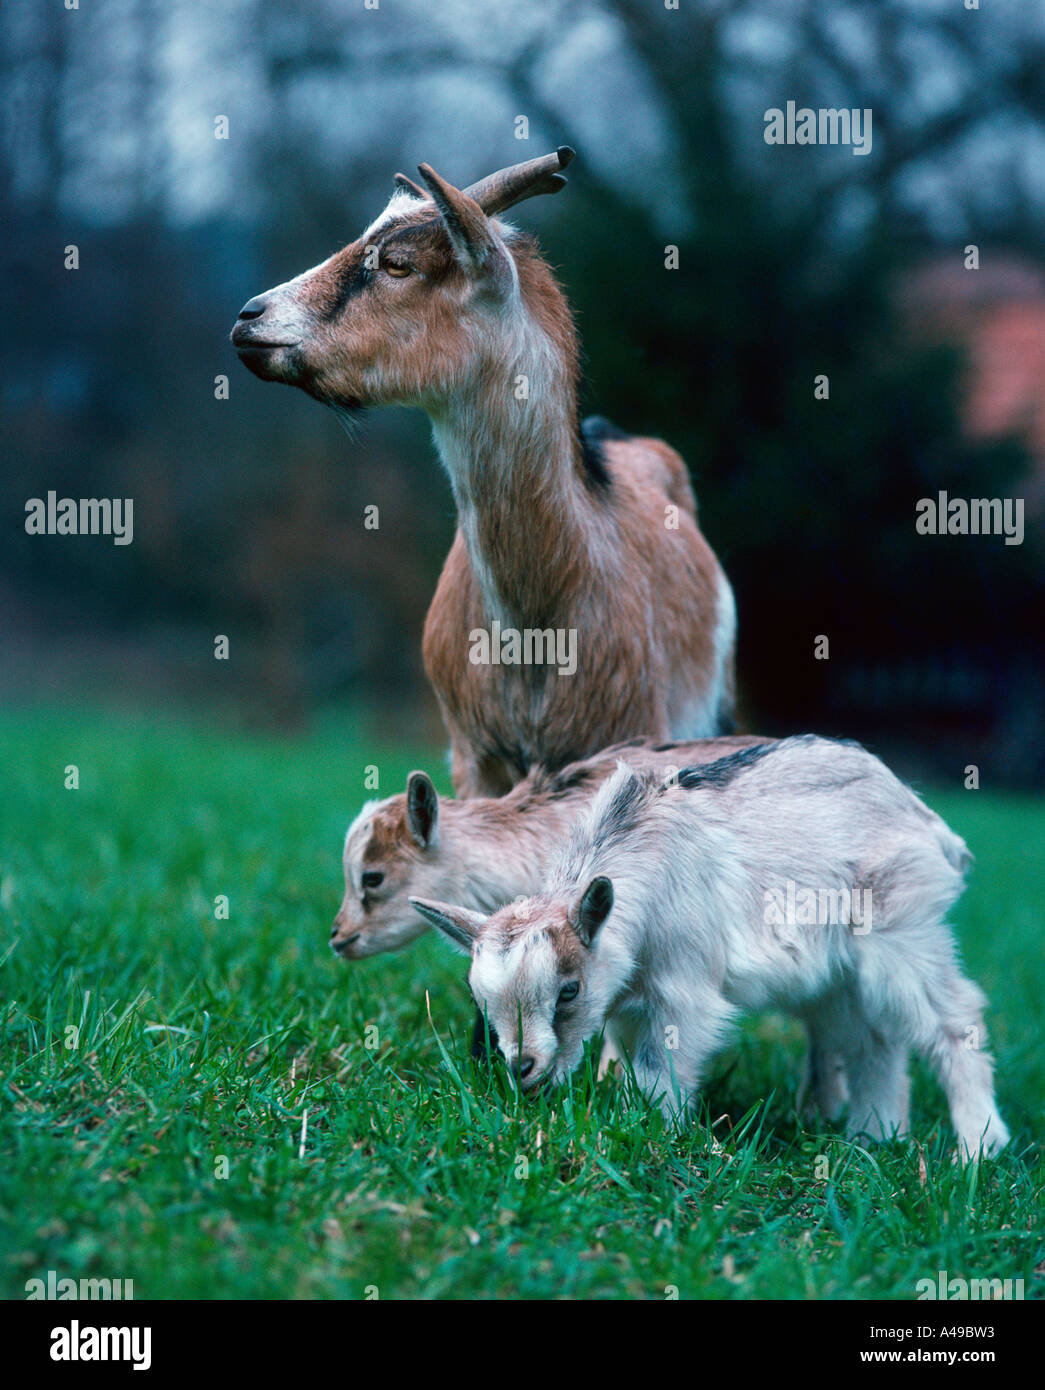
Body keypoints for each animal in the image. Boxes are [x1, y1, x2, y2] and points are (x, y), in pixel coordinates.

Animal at [411, 737, 1010, 1161]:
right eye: (481, 999)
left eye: (568, 990)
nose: (523, 1068)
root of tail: (927, 823)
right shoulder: (629, 1005)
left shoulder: (683, 997)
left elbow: (658, 1072)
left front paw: (657, 1134)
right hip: (839, 980)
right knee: (874, 1043)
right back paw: (871, 1140)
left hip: (905, 937)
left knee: (955, 1020)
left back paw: (978, 1150)